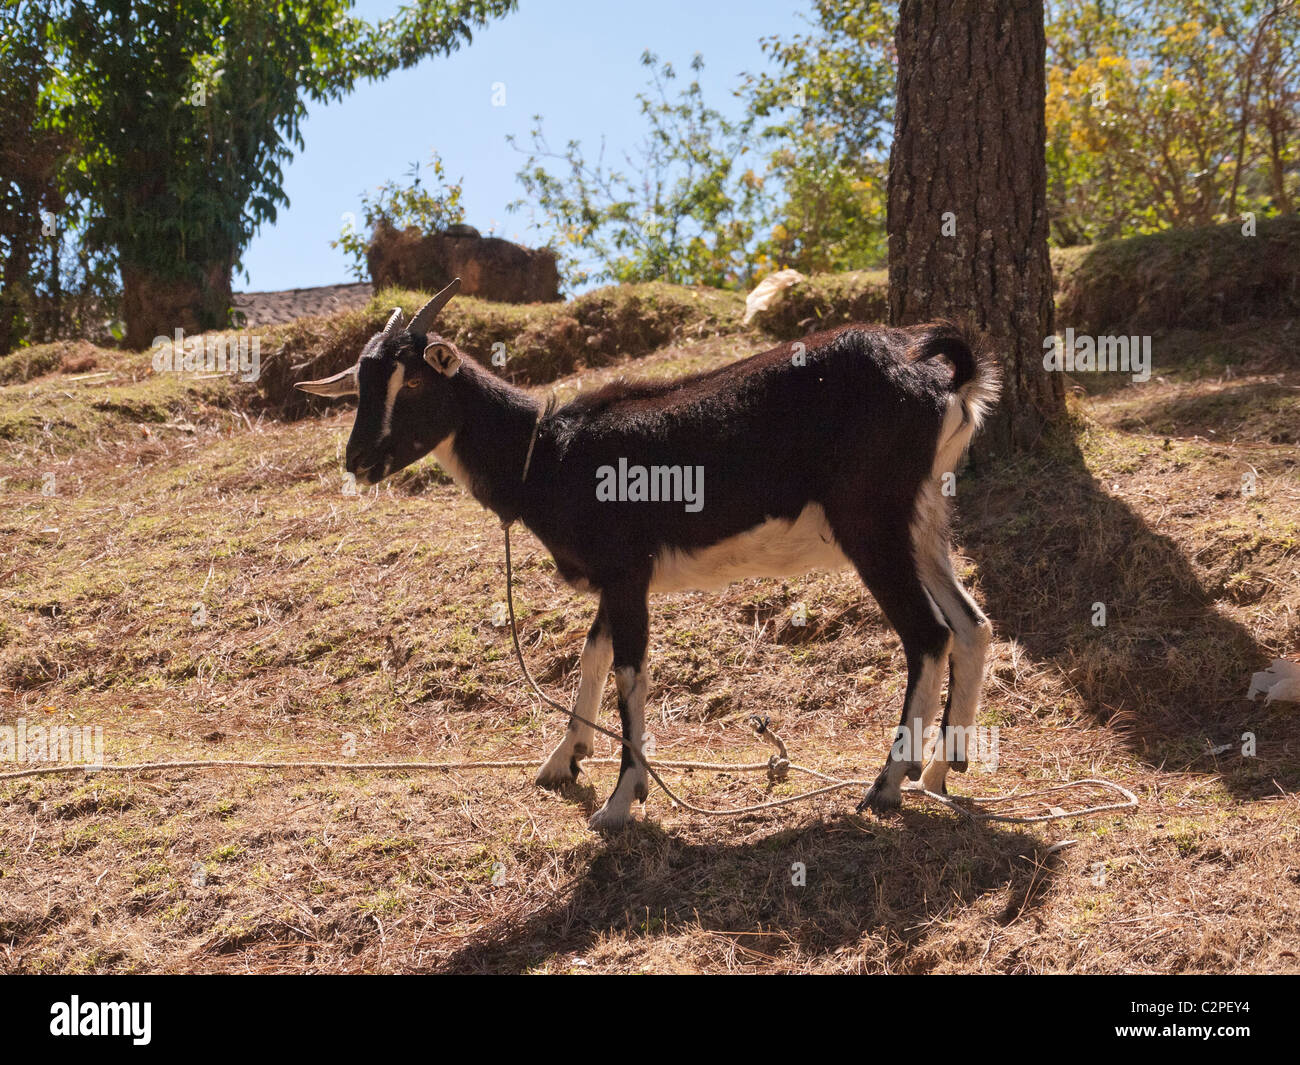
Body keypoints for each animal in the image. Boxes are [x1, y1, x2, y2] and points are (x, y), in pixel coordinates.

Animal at [297, 279, 1000, 829]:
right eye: (361, 384)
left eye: (412, 379)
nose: (358, 461)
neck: (546, 452)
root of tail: (937, 375)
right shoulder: (618, 580)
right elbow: (592, 656)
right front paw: (562, 760)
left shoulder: (625, 573)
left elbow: (629, 674)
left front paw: (620, 801)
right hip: (922, 522)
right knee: (972, 623)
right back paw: (941, 771)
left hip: (871, 525)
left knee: (928, 634)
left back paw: (886, 785)